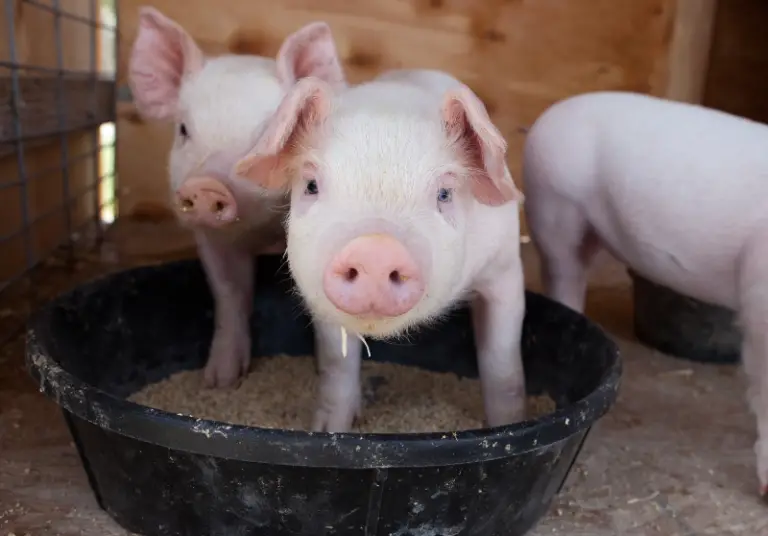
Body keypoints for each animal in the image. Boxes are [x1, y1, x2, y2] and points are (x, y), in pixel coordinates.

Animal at [127, 7, 346, 388]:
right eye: (183, 130)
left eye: (269, 134)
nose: (204, 185)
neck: (261, 232)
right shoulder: (211, 240)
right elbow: (230, 295)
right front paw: (220, 381)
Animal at [232, 68, 527, 432]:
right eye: (311, 186)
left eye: (445, 193)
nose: (375, 250)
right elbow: (336, 361)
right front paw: (327, 430)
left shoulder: (505, 269)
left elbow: (502, 365)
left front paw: (509, 425)